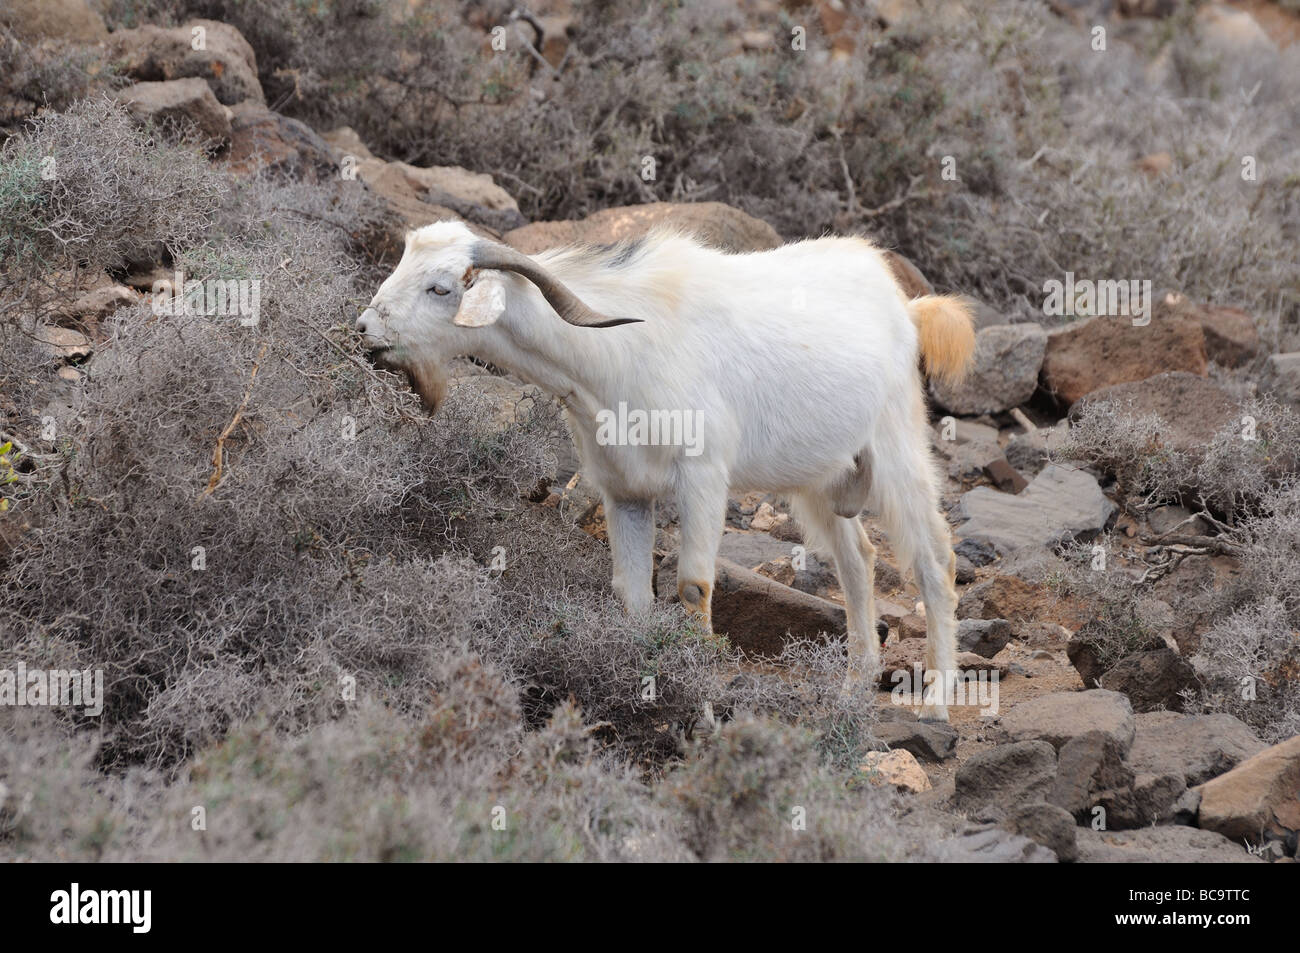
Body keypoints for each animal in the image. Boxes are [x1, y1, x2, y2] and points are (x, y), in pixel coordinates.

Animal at [357, 221, 975, 720]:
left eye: (440, 287)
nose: (365, 330)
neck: (613, 351)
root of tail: (905, 307)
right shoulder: (623, 490)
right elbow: (631, 593)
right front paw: (638, 690)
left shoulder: (702, 479)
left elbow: (693, 586)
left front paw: (700, 693)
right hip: (819, 481)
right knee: (858, 560)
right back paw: (853, 689)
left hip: (896, 451)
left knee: (933, 561)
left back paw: (936, 703)